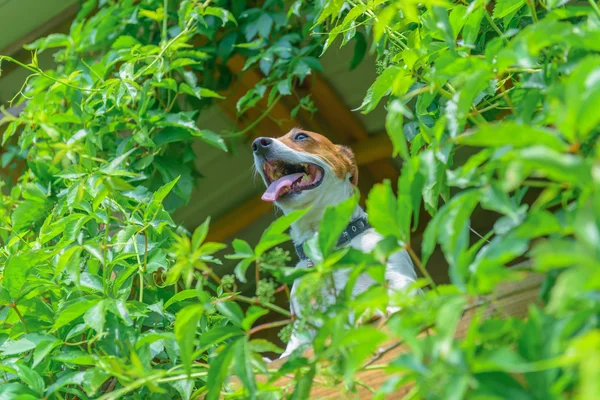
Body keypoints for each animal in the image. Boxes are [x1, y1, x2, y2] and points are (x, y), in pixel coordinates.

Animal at [252, 129, 418, 360]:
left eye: (300, 136)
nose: (258, 143)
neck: (327, 247)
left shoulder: (399, 277)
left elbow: (398, 299)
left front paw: (371, 313)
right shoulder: (303, 325)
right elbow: (293, 348)